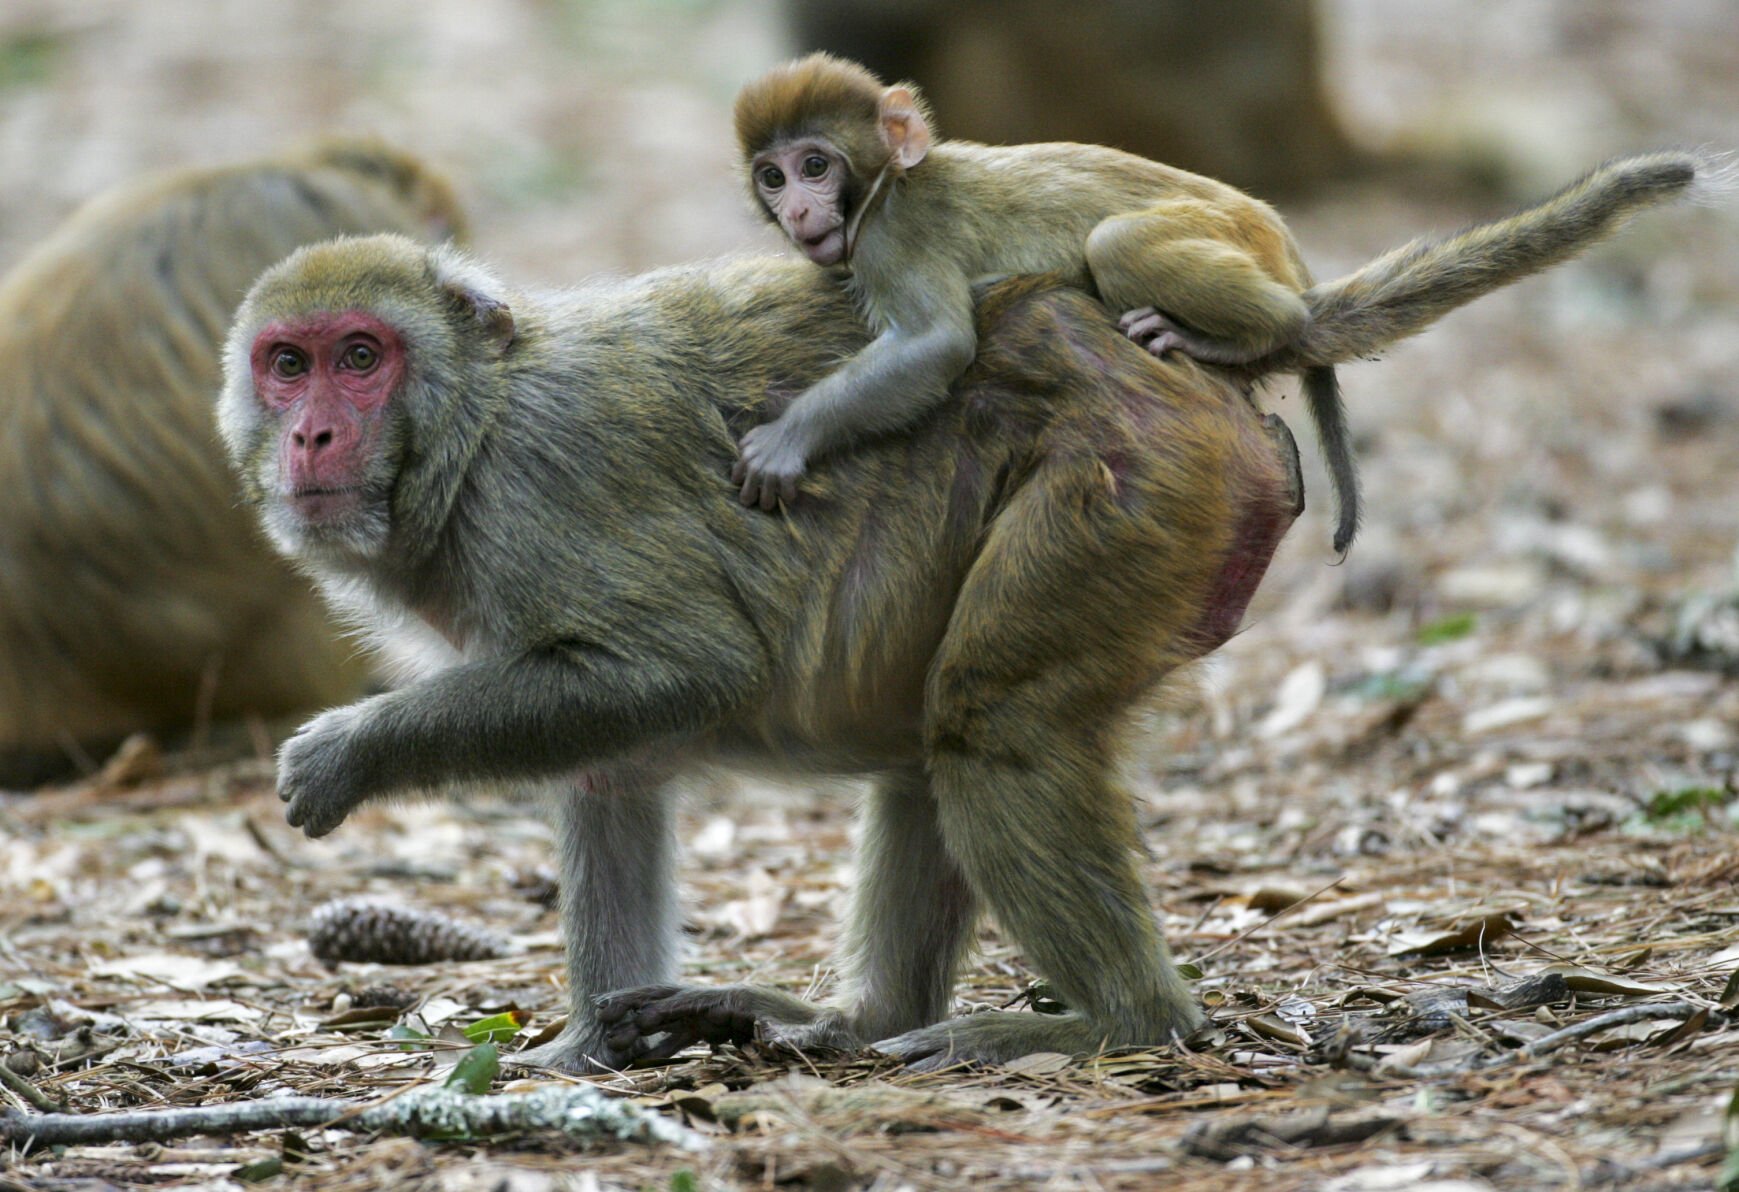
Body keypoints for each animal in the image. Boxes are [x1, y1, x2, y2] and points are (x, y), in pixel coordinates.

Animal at [222, 125, 1716, 1069]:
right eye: (287, 364)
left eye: (360, 356)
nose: (311, 436)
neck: (471, 430)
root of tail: (1220, 371)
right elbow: (612, 766)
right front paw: (590, 1047)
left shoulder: (541, 494)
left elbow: (676, 671)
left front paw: (346, 754)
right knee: (921, 745)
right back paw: (852, 1020)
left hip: (1136, 488)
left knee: (986, 721)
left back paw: (1118, 1024)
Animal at [729, 54, 1713, 559]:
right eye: (771, 177)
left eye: (815, 164)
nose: (800, 211)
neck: (884, 190)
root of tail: (1283, 243)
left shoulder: (896, 239)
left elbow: (933, 344)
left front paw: (786, 440)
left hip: (1226, 245)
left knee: (1125, 250)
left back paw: (1249, 336)